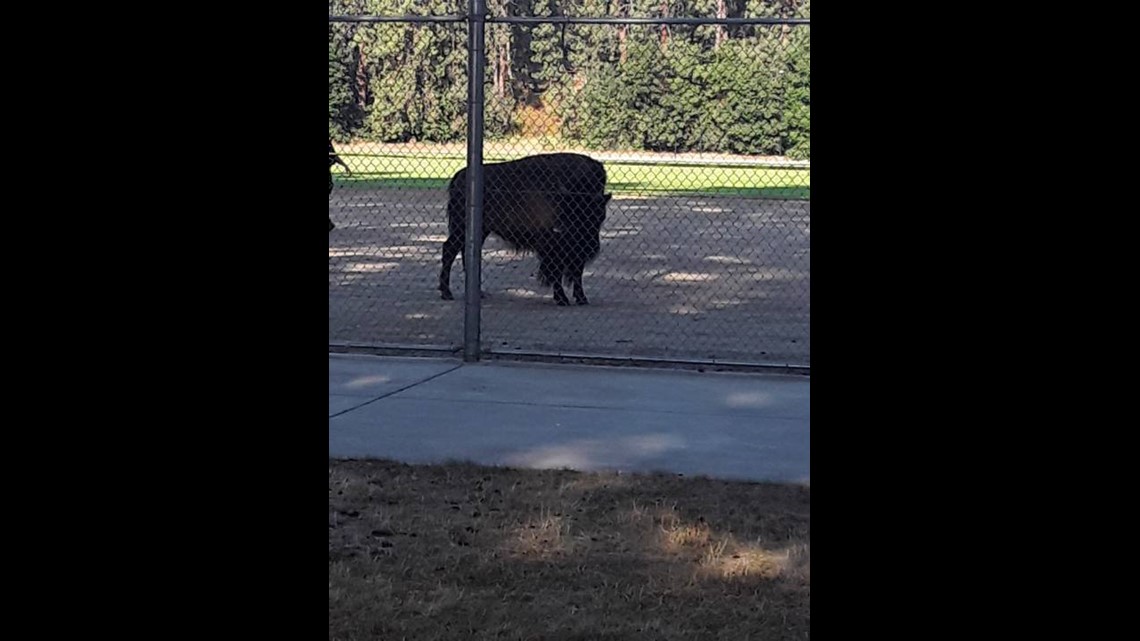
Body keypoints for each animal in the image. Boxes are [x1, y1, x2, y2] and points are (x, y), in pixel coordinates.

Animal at [439, 153, 611, 306]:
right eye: (573, 216)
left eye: (600, 216)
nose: (590, 247)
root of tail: (458, 178)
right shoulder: (552, 246)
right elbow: (556, 271)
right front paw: (562, 299)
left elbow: (577, 272)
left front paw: (581, 298)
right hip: (461, 228)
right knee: (449, 249)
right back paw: (447, 293)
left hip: (480, 230)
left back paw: (477, 293)